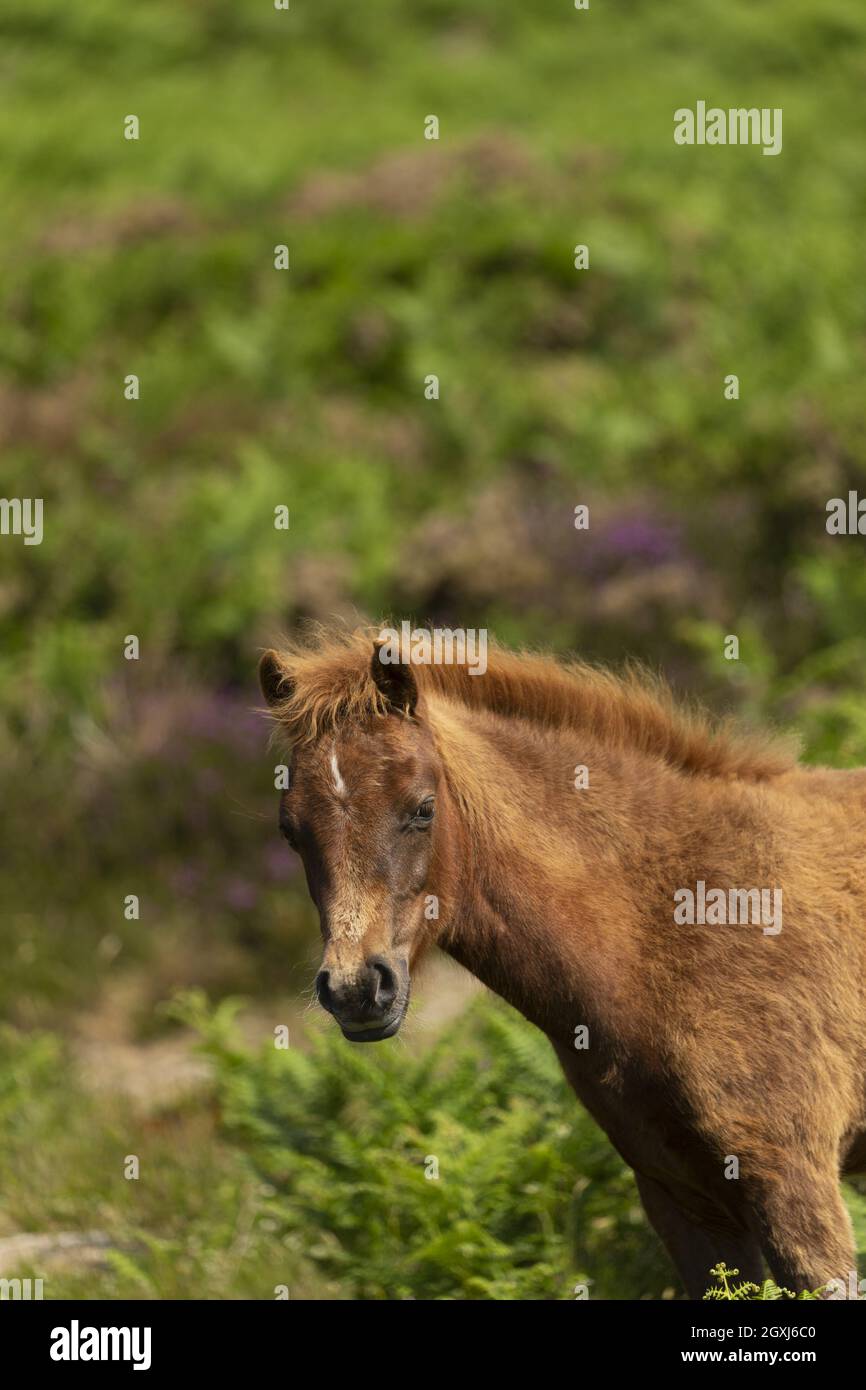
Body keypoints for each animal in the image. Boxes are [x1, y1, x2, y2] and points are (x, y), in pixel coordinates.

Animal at [258, 623, 866, 1299]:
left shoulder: (793, 1184)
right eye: (290, 832)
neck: (680, 919)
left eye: (422, 808)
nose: (357, 989)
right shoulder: (684, 1201)